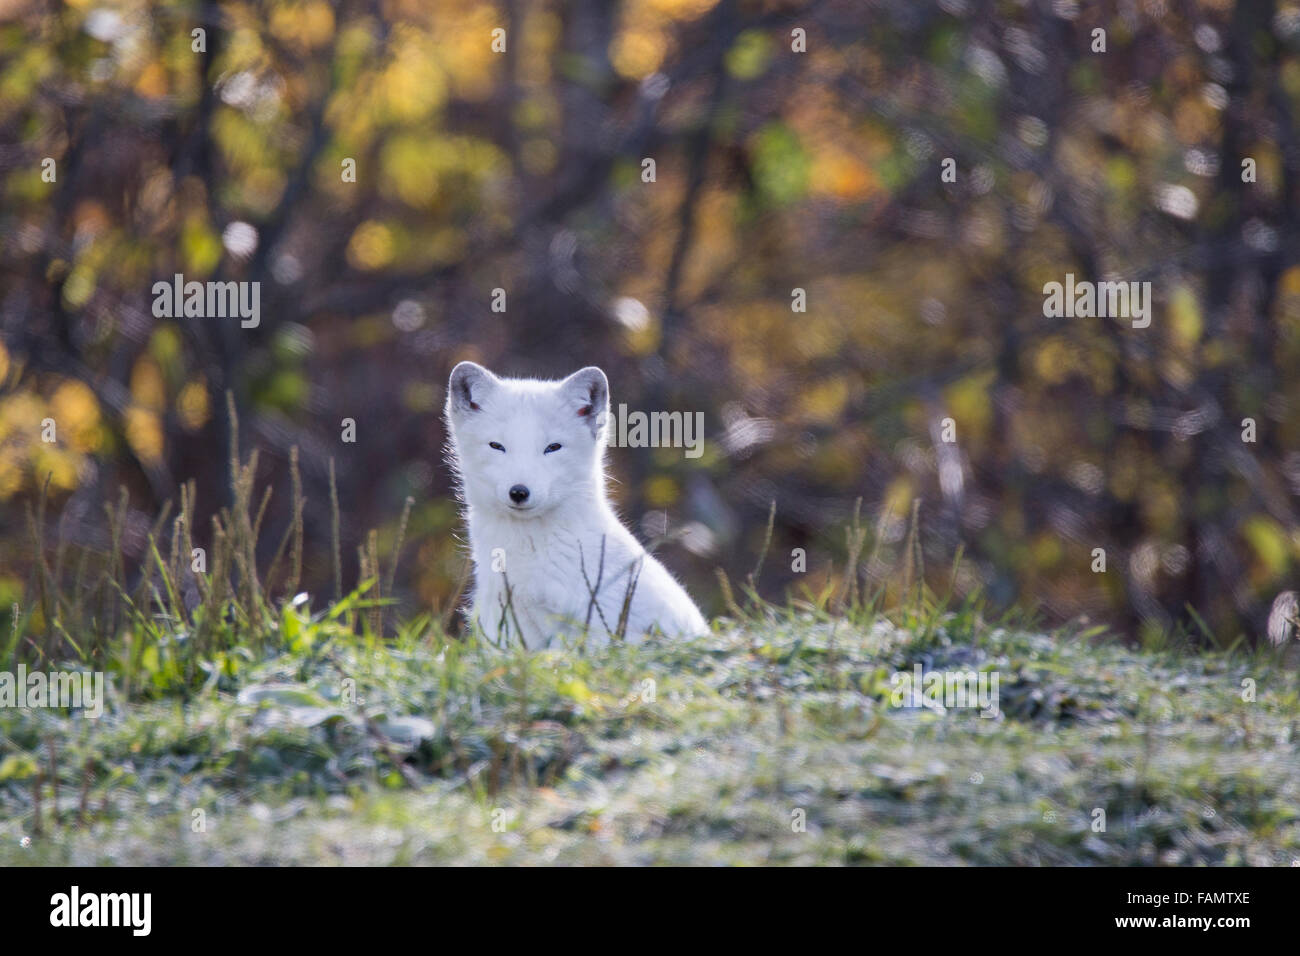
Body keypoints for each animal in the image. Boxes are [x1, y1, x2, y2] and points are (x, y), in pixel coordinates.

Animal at [444, 361, 709, 649]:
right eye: (496, 446)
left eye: (553, 447)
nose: (519, 492)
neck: (528, 549)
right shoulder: (508, 622)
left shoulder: (596, 625)